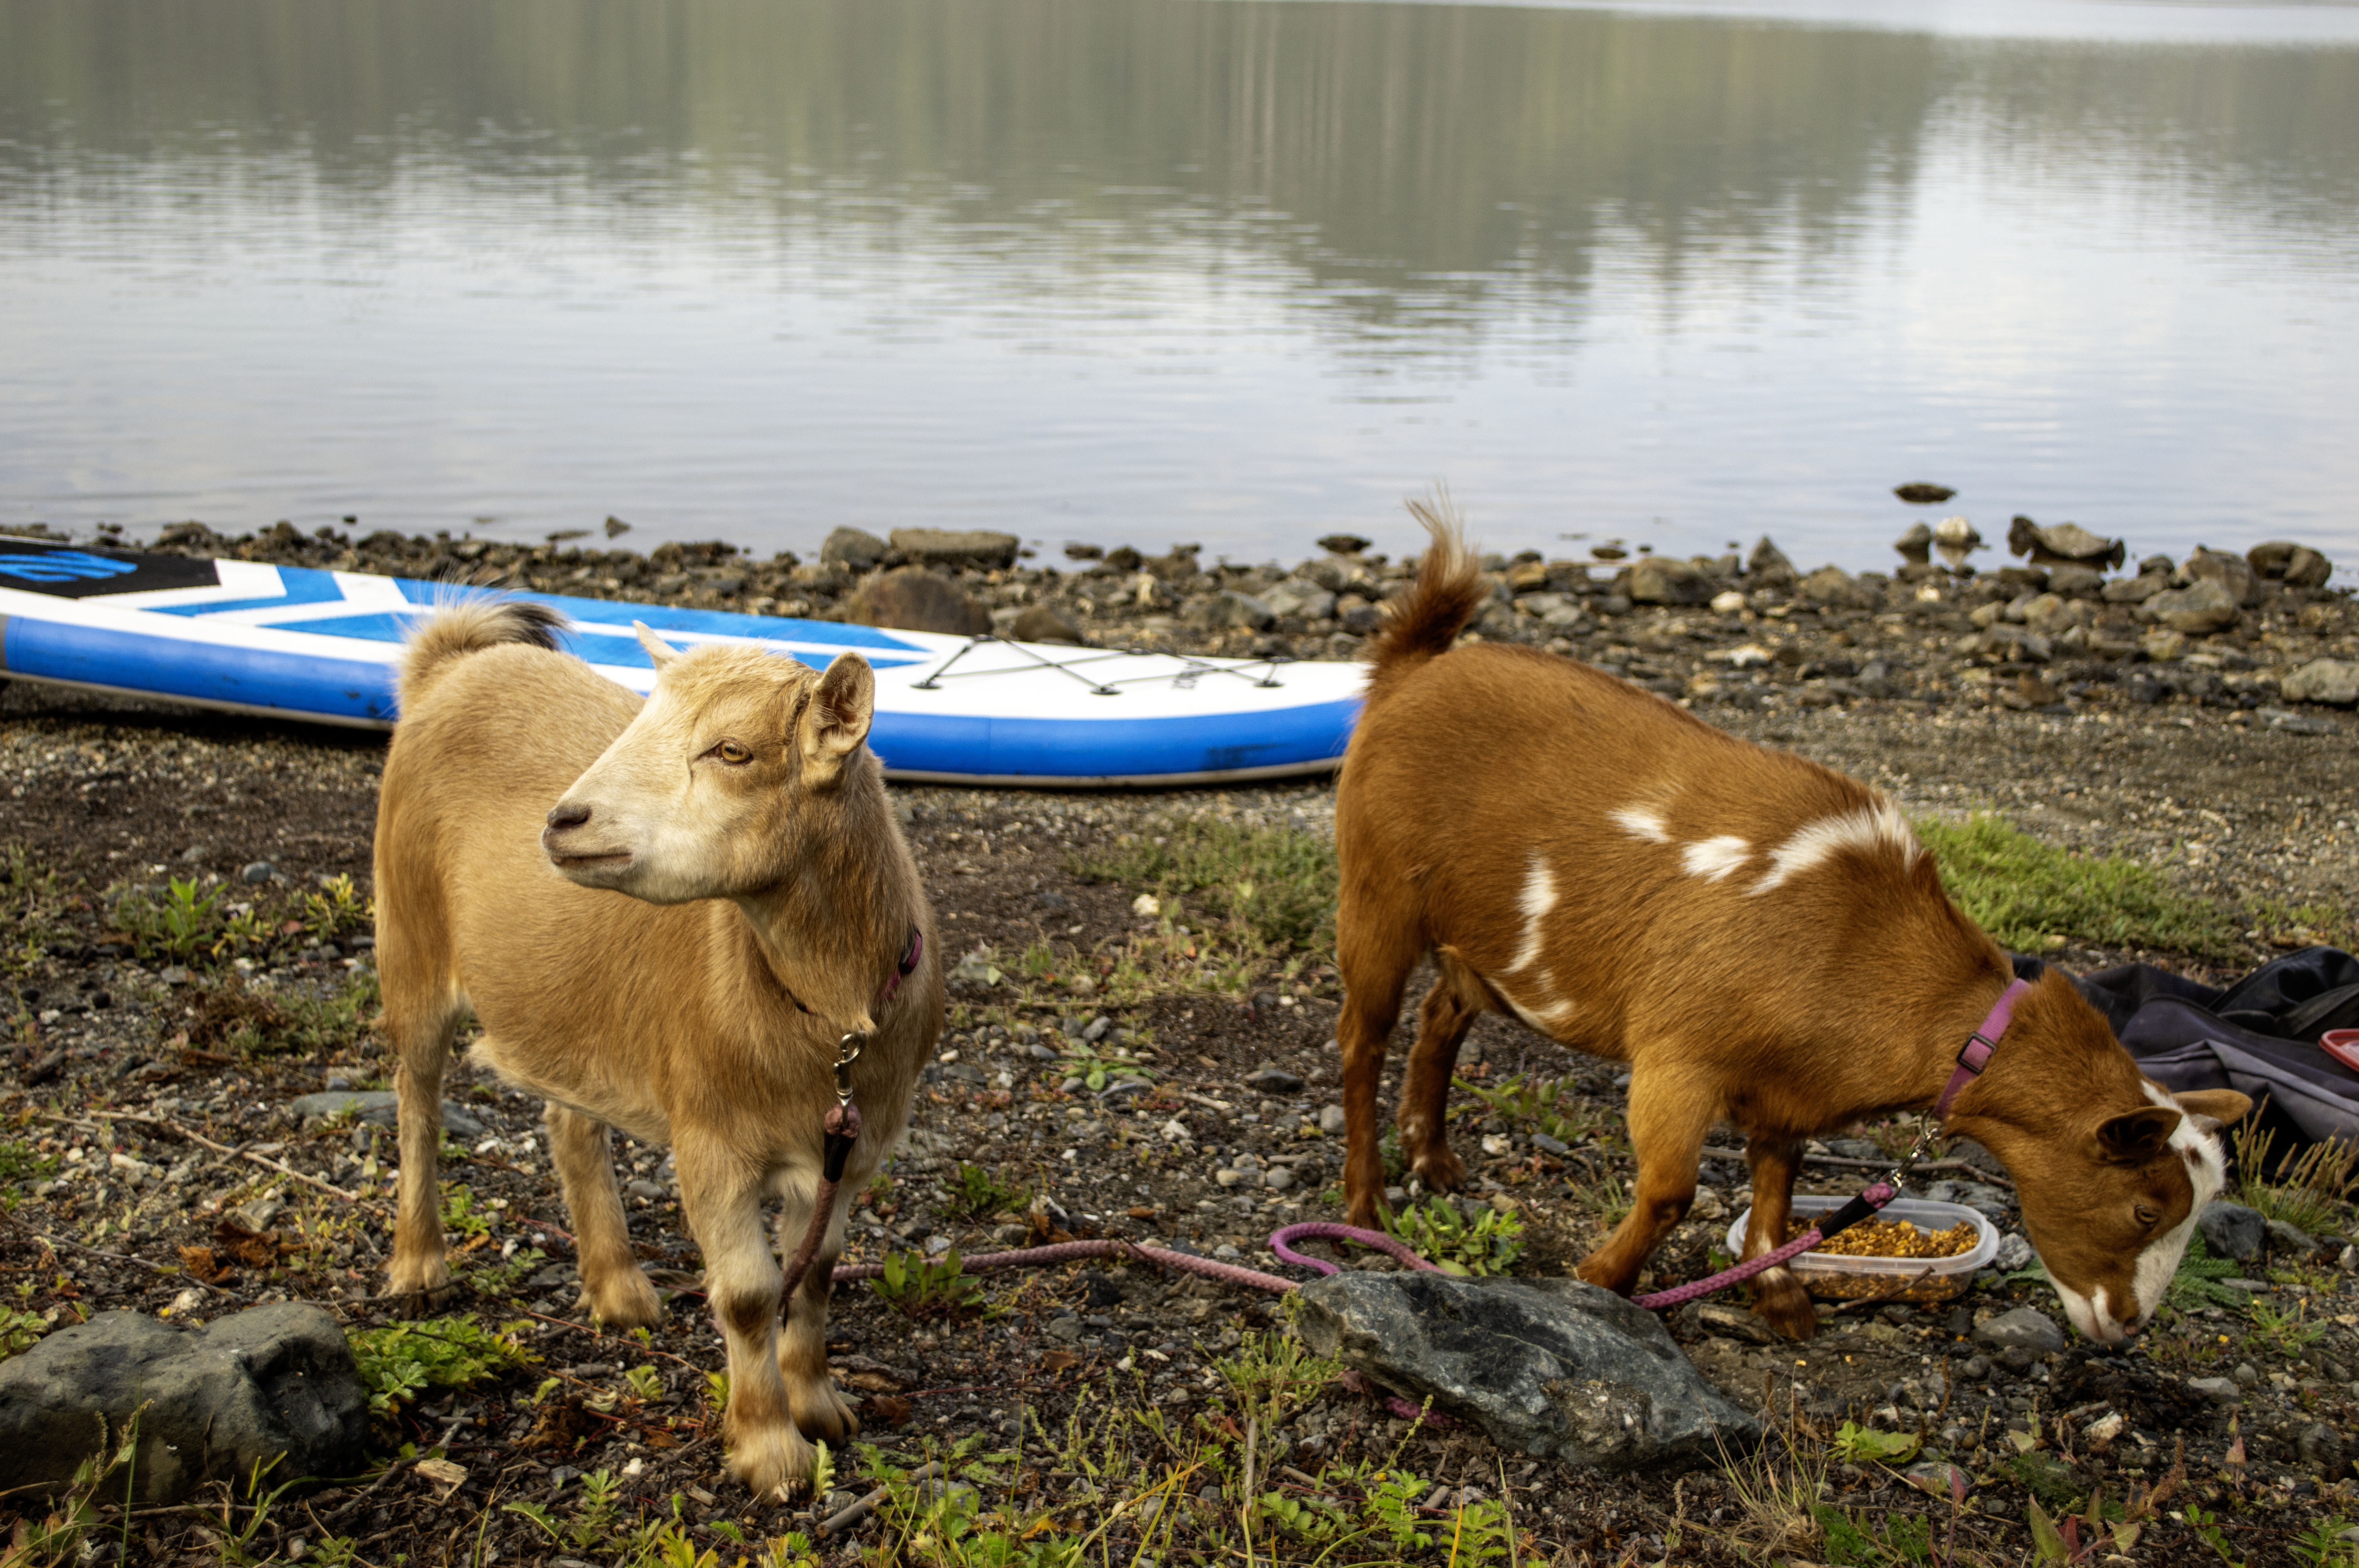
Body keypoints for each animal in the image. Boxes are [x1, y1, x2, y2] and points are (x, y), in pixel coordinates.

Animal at [374, 600, 940, 1496]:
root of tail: (454, 662)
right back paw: (420, 1264)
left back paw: (618, 1287)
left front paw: (819, 1405)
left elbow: (815, 1270)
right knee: (417, 1101)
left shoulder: (851, 1149)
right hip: (409, 932)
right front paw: (771, 1450)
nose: (563, 820)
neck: (822, 1017)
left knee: (570, 1118)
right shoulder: (710, 1138)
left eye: (732, 750)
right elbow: (748, 1294)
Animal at [1335, 503, 2249, 1343]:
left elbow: (1777, 1178)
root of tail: (1413, 669)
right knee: (1362, 1042)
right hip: (1374, 891)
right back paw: (1366, 1204)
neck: (1859, 941)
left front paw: (1777, 1294)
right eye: (2144, 1209)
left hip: (1482, 942)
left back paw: (1433, 1158)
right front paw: (1599, 1281)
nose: (2126, 1326)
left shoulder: (1787, 1084)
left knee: (1441, 1013)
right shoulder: (1679, 1053)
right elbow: (1670, 1191)